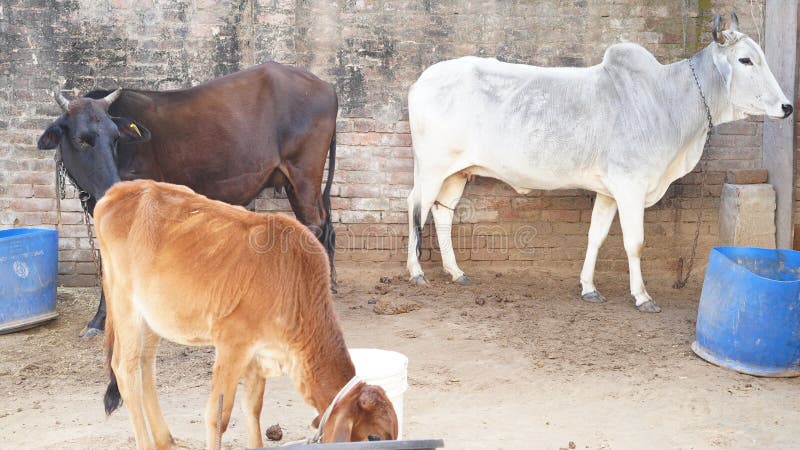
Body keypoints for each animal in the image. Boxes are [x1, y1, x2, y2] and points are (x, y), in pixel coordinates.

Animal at [37, 62, 338, 337]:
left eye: (115, 138)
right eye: (82, 139)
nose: (112, 186)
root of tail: (326, 85)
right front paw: (101, 319)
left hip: (303, 173)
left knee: (314, 225)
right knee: (323, 225)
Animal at [96, 179, 398, 449]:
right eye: (373, 436)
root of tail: (120, 191)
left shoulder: (258, 352)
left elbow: (253, 408)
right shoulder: (232, 345)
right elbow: (218, 416)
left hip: (152, 315)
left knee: (146, 366)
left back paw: (164, 440)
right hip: (125, 305)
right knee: (125, 368)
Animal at [406, 13, 793, 312]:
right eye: (745, 60)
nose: (787, 107)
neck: (666, 99)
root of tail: (420, 81)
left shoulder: (609, 191)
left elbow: (596, 236)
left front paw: (589, 288)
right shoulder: (630, 186)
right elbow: (635, 242)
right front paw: (642, 296)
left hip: (458, 172)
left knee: (442, 211)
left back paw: (456, 272)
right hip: (432, 166)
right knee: (416, 207)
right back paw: (417, 273)